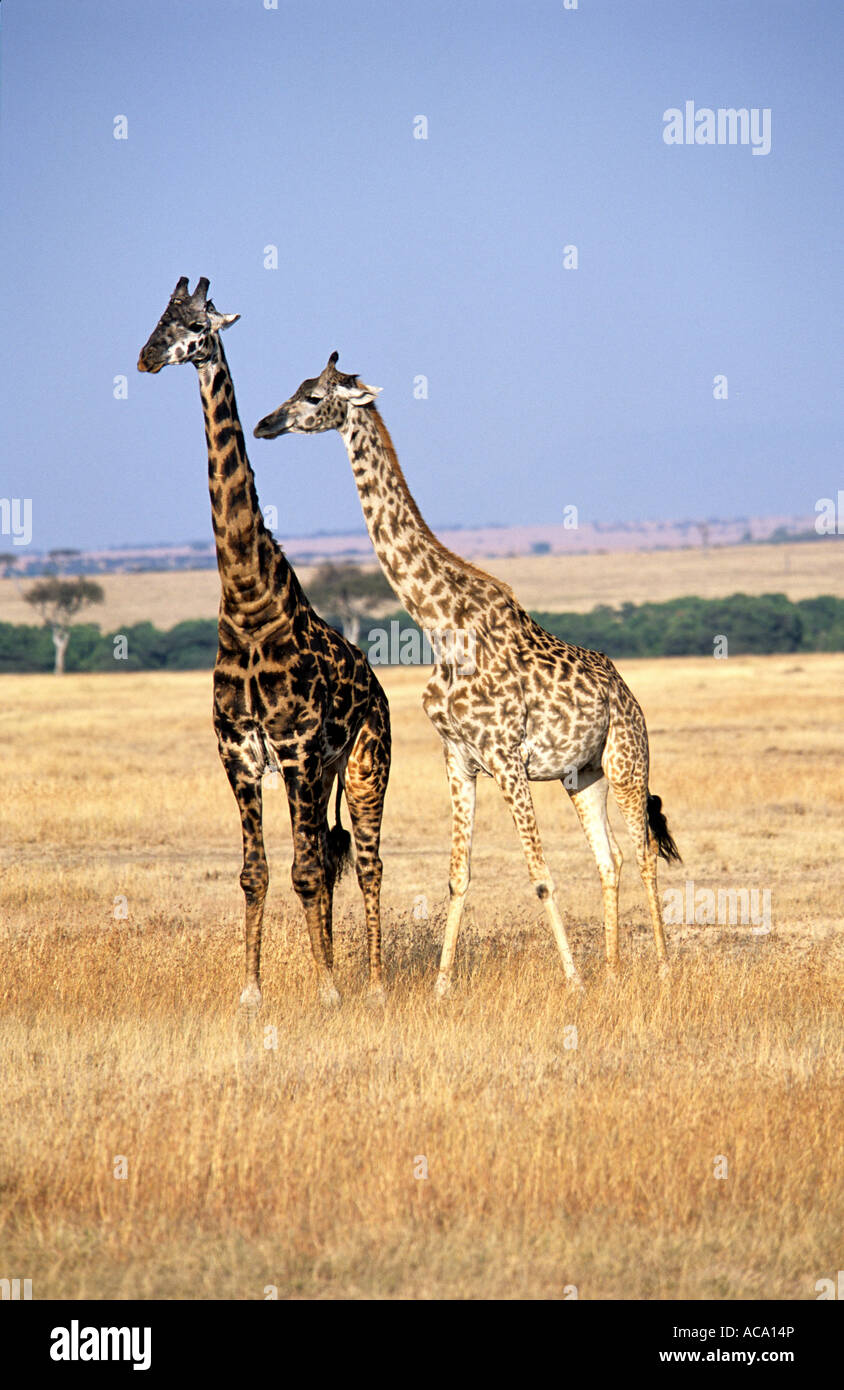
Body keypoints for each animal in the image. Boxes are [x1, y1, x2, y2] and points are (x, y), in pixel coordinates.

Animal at [138, 288, 391, 1011]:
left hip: (363, 763)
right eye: (157, 320)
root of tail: (377, 683)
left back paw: (374, 984)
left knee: (365, 862)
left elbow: (304, 870)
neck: (248, 601)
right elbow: (256, 872)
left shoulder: (297, 747)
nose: (146, 359)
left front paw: (328, 988)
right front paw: (253, 990)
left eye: (196, 326)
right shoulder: (238, 750)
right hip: (323, 772)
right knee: (329, 857)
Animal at [254, 353, 680, 995]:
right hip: (582, 774)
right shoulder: (457, 756)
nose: (264, 424)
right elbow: (459, 873)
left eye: (311, 396)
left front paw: (572, 982)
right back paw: (611, 971)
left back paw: (659, 968)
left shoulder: (506, 758)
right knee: (612, 858)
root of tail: (626, 695)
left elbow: (540, 874)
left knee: (645, 851)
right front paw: (441, 985)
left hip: (628, 759)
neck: (441, 626)